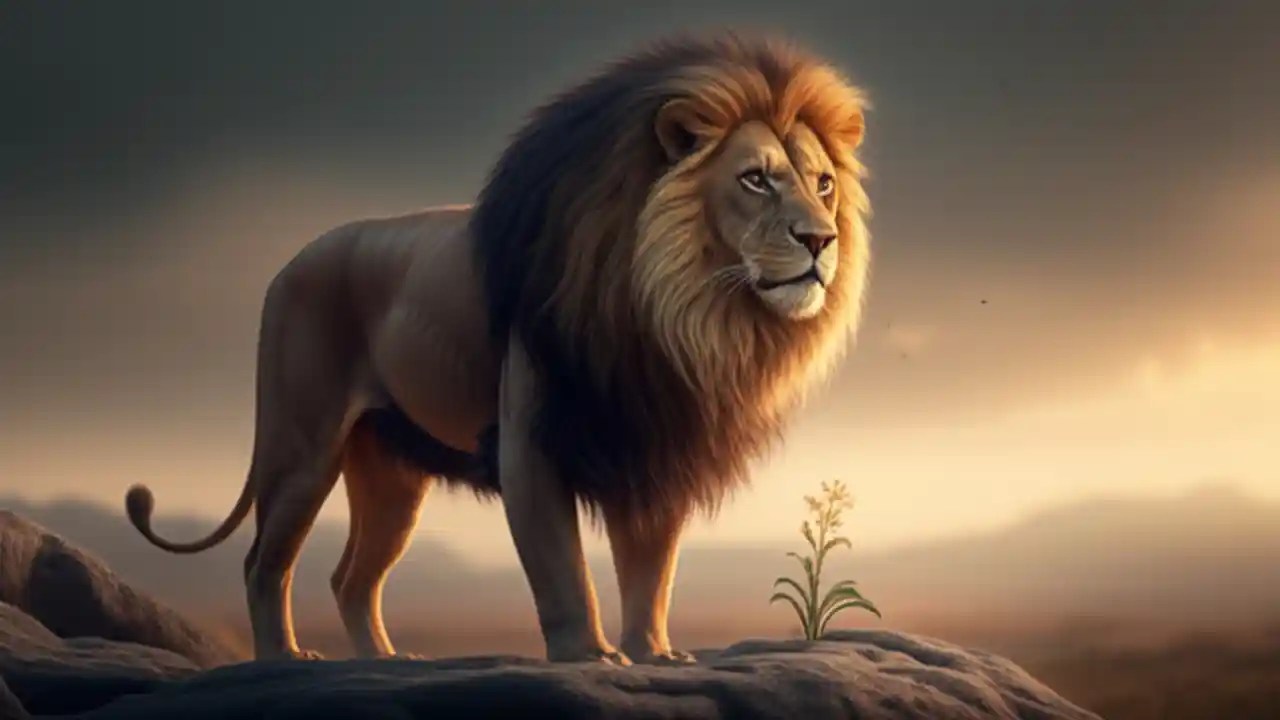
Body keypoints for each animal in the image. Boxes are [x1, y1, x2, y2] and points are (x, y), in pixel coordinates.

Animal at [124, 32, 872, 665]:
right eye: (755, 179)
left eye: (823, 183)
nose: (820, 240)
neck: (678, 314)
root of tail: (288, 264)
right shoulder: (533, 441)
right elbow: (562, 566)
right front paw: (590, 654)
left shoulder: (652, 443)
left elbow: (652, 569)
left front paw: (654, 653)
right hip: (303, 445)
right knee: (263, 562)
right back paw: (283, 659)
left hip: (392, 473)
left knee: (350, 577)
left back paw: (384, 662)